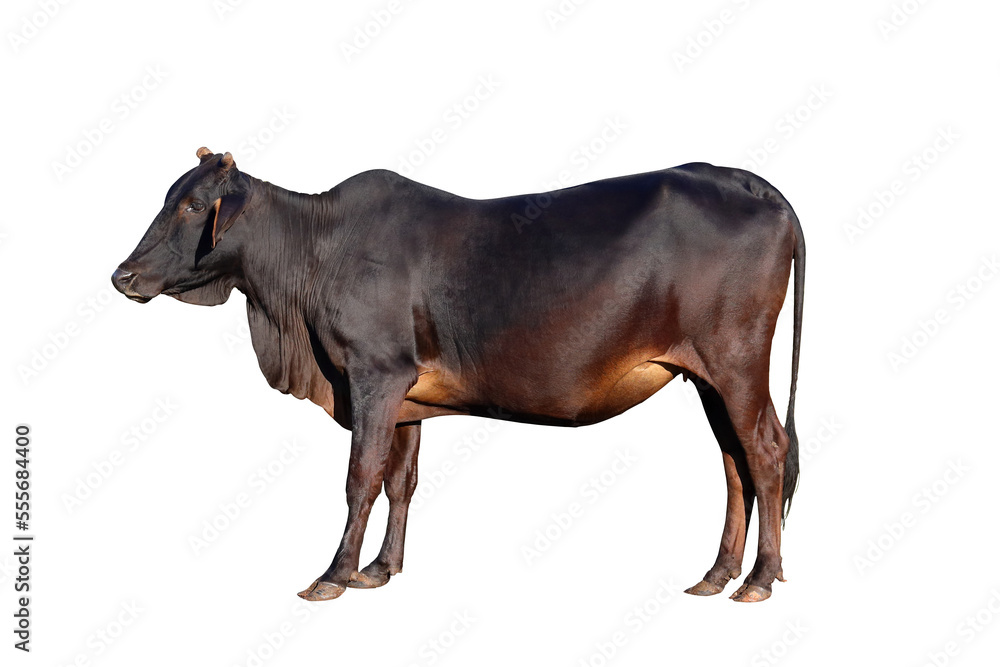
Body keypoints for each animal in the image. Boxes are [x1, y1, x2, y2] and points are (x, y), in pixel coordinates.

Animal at [113, 147, 804, 603]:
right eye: (167, 197)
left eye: (194, 205)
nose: (123, 276)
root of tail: (744, 181)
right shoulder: (406, 397)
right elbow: (401, 481)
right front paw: (380, 569)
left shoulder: (373, 374)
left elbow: (360, 477)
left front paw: (334, 574)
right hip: (706, 374)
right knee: (734, 462)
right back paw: (718, 574)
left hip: (737, 359)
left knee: (765, 452)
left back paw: (758, 579)